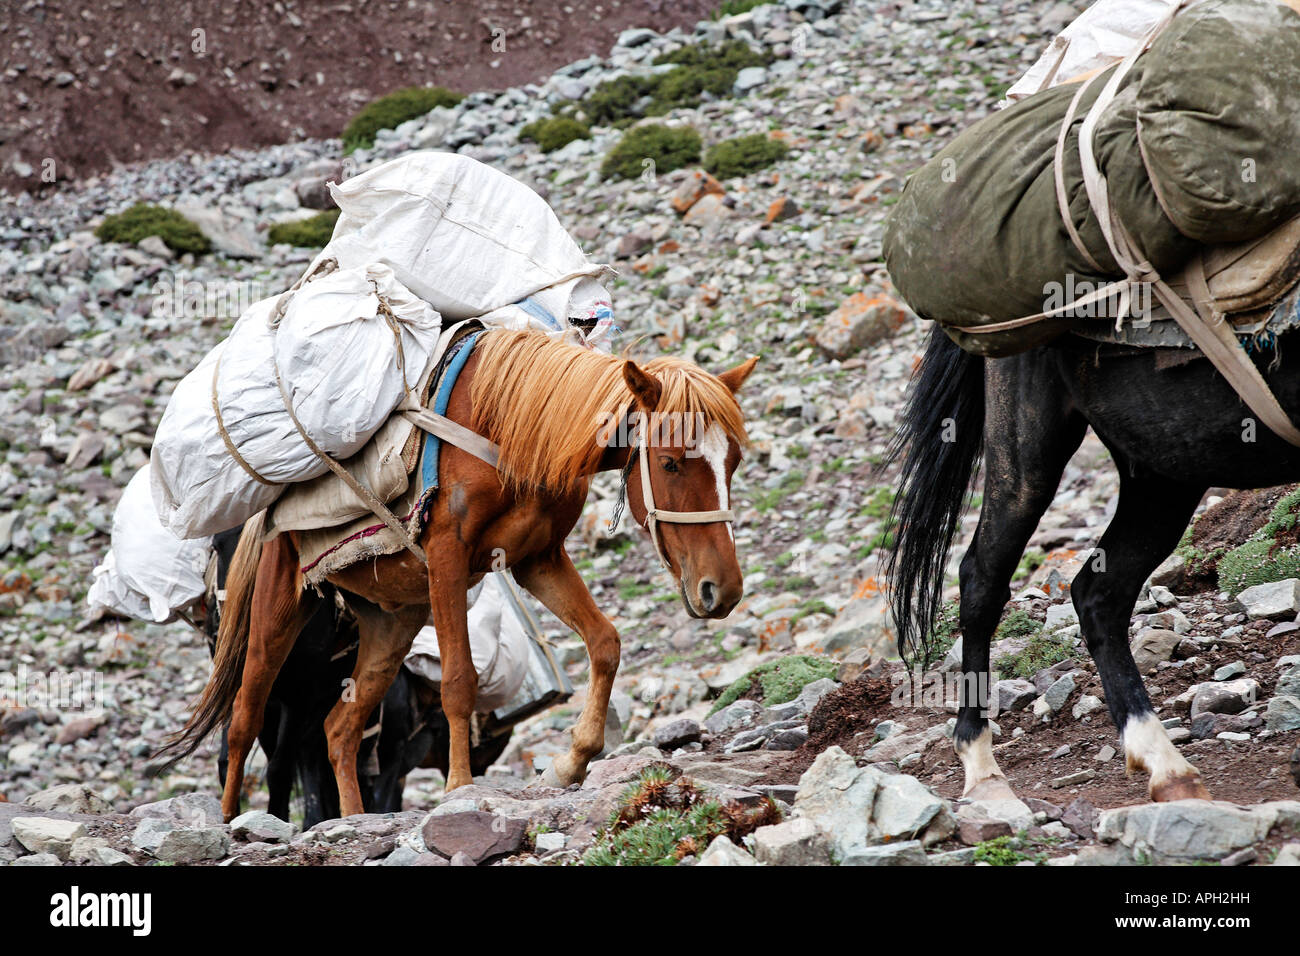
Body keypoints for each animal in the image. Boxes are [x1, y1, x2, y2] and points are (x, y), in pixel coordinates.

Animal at [169, 328, 756, 821]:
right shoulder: (449, 558)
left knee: (339, 730)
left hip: (391, 624)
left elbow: (604, 641)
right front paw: (458, 786)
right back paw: (232, 823)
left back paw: (353, 819)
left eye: (733, 462)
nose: (722, 590)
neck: (513, 428)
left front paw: (572, 760)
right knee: (244, 721)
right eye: (672, 462)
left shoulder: (536, 559)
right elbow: (458, 679)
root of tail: (258, 519)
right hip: (277, 615)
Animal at [887, 324, 1300, 804]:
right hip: (1030, 452)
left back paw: (1165, 764)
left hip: (1166, 464)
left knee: (1097, 594)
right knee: (982, 580)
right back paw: (981, 764)